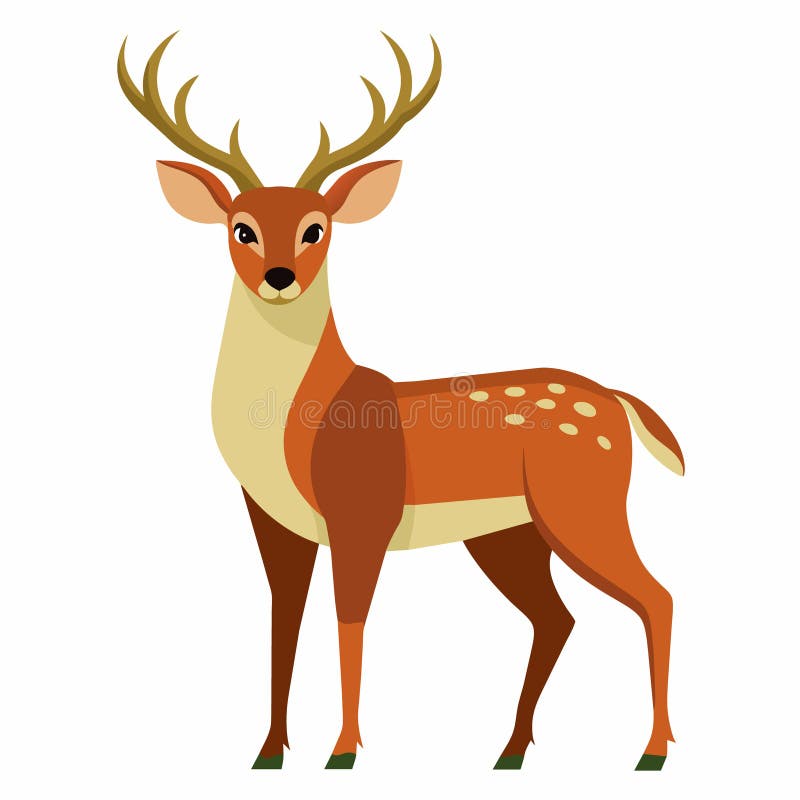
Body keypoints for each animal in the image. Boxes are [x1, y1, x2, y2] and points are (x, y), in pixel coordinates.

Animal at [117, 31, 684, 772]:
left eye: (316, 227)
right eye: (241, 228)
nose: (280, 276)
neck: (293, 431)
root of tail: (618, 403)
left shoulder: (363, 510)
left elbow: (349, 622)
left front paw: (343, 752)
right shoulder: (272, 522)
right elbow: (282, 624)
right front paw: (268, 753)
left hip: (582, 502)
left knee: (656, 597)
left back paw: (652, 752)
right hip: (508, 533)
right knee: (558, 617)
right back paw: (509, 752)